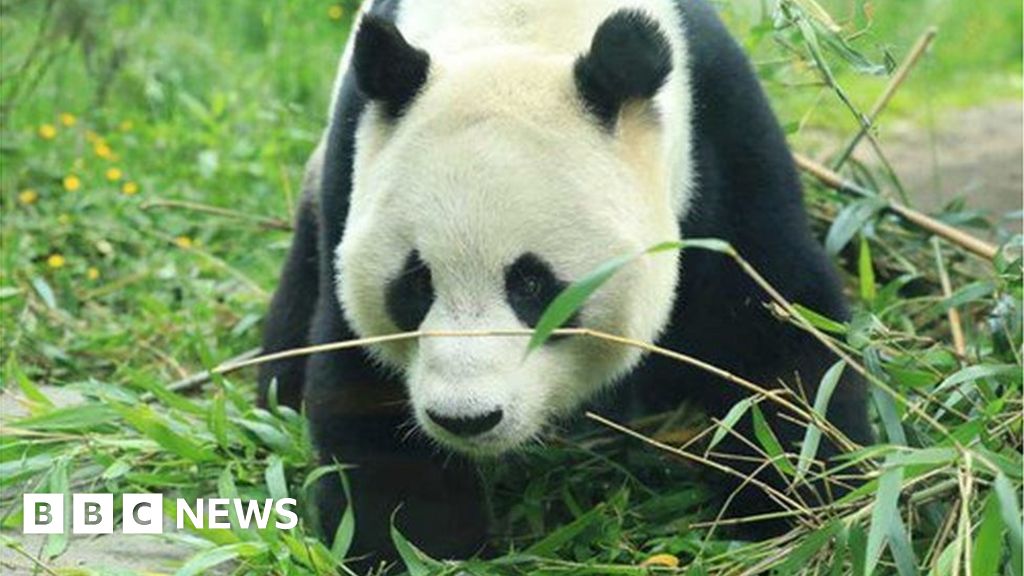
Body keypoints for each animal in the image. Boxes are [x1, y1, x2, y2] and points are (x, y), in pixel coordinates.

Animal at [259, 0, 872, 563]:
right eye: (415, 285)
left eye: (532, 285)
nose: (467, 418)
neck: (518, 27)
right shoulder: (351, 172)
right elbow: (363, 390)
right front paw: (418, 548)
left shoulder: (716, 135)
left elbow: (775, 342)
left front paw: (802, 515)